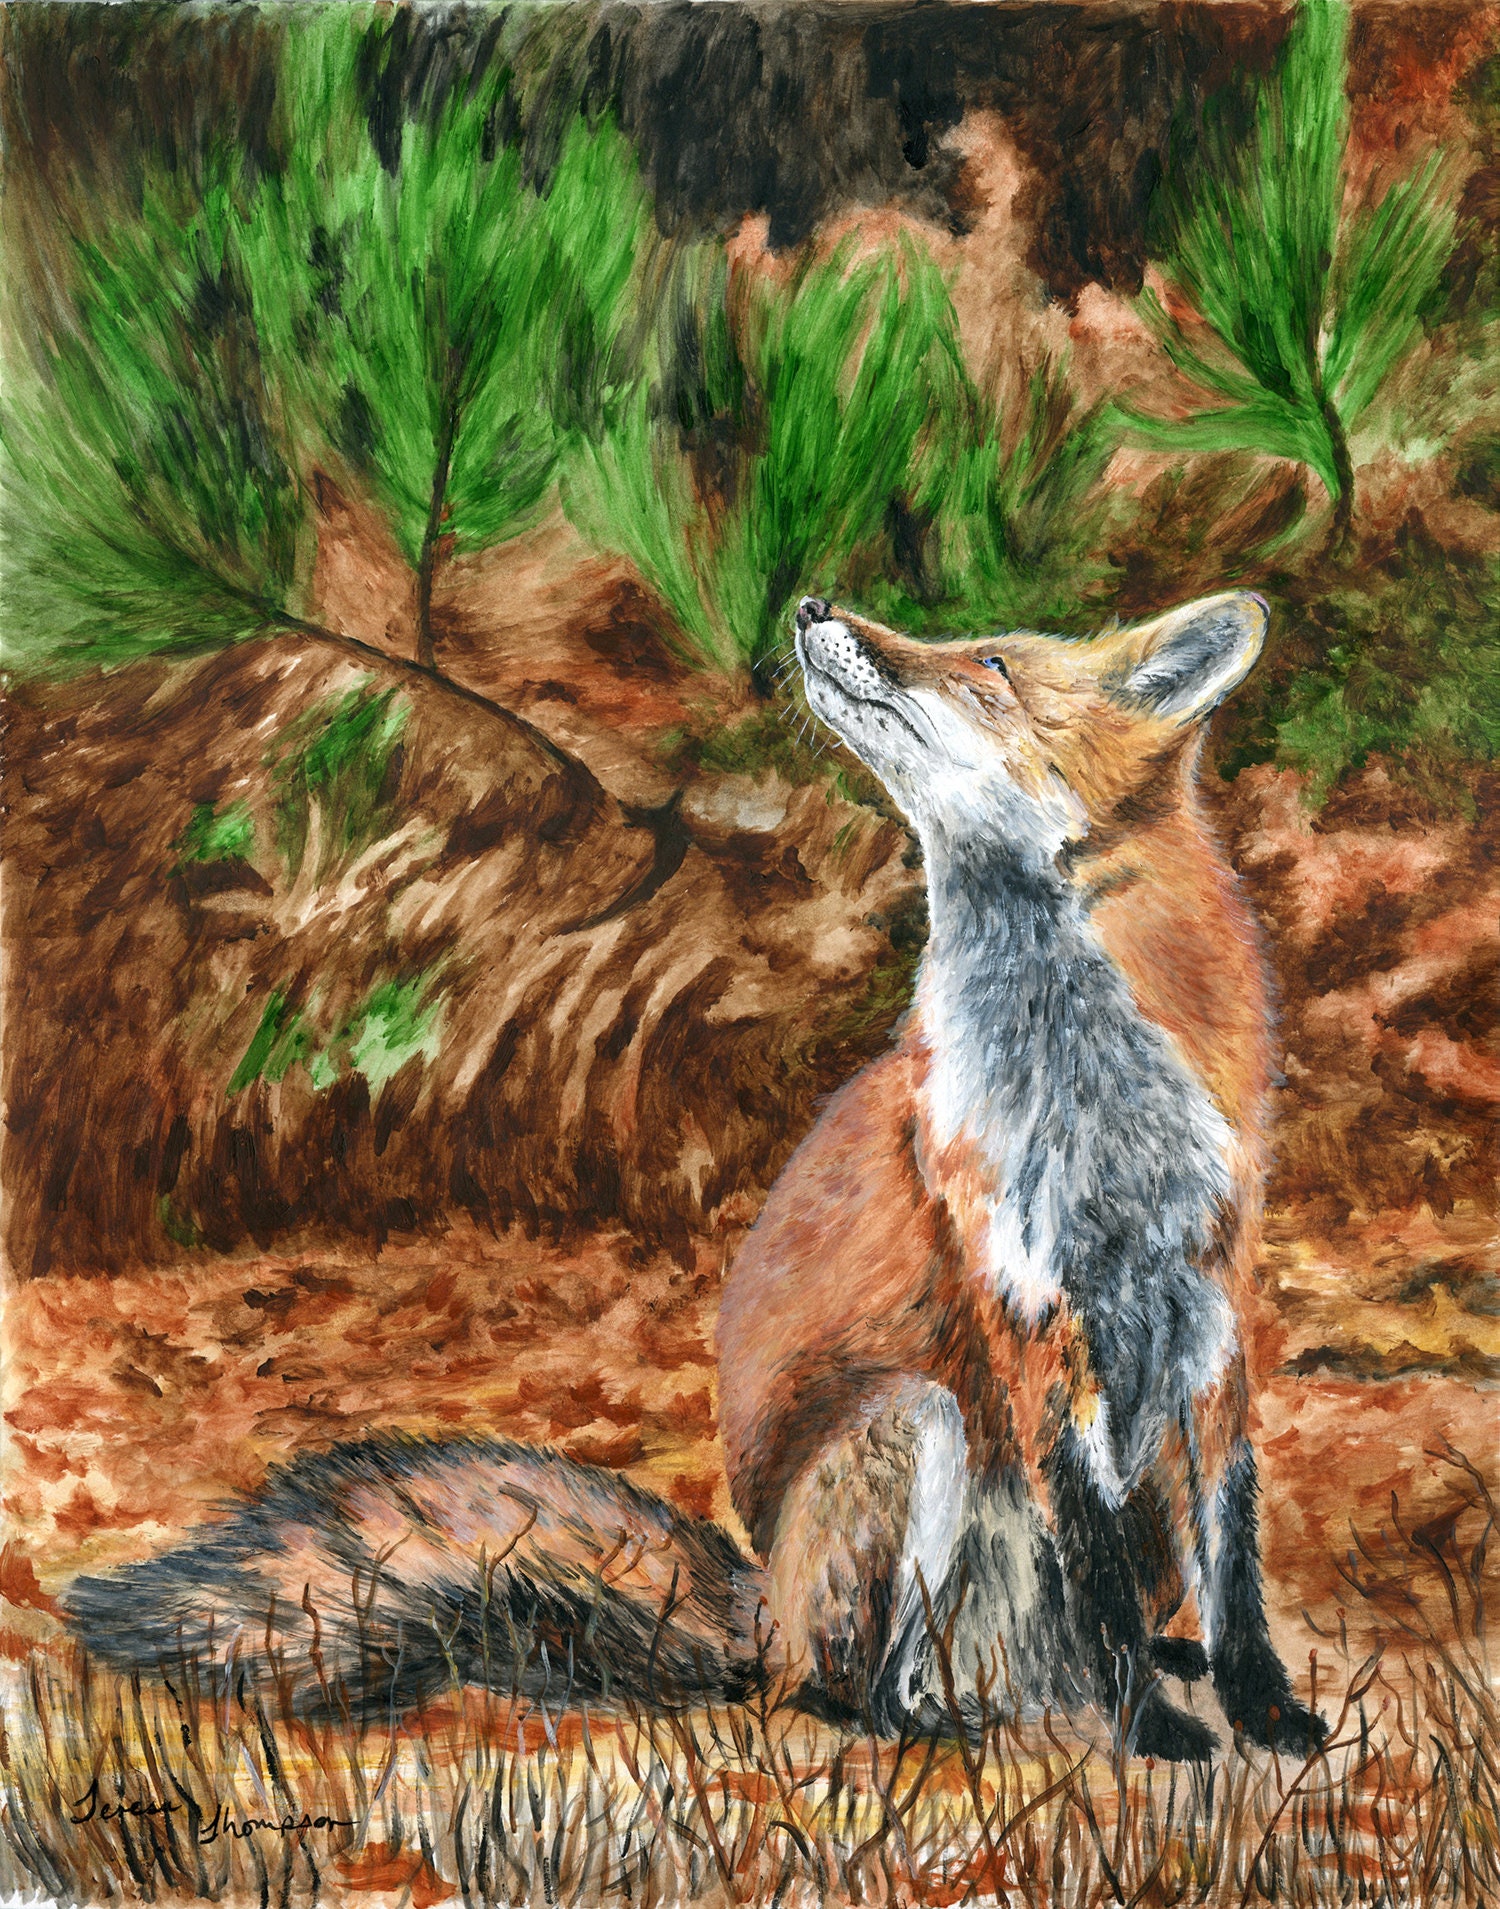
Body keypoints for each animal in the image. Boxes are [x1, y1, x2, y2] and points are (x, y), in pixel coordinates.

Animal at [62, 590, 1323, 1760]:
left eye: (991, 665)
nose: (812, 605)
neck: (1092, 1102)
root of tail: (760, 1603)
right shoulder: (1025, 1310)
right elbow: (1099, 1577)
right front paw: (1153, 1729)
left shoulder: (1211, 1305)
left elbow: (1234, 1562)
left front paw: (1262, 1705)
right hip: (914, 1424)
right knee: (842, 1686)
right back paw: (932, 1722)